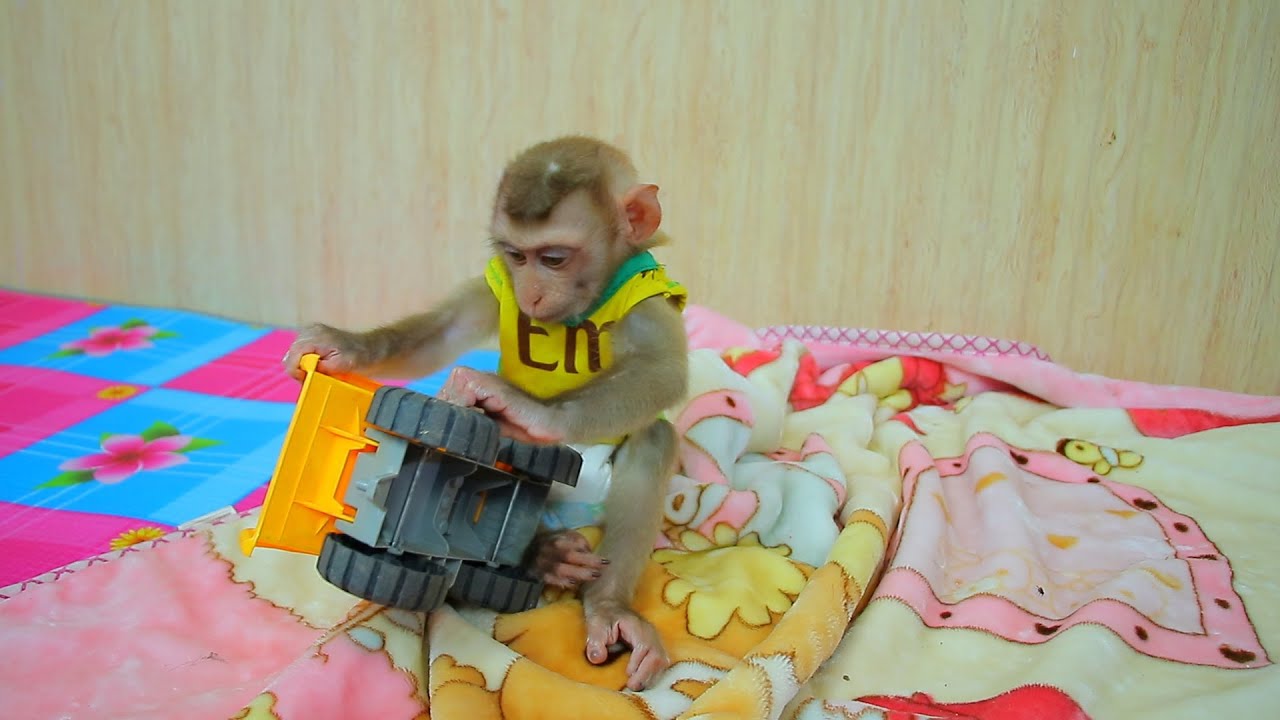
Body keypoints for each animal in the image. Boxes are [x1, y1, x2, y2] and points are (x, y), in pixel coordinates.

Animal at [282, 135, 688, 691]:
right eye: (516, 256)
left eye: (554, 258)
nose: (531, 292)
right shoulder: (499, 283)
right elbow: (443, 334)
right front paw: (344, 345)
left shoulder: (645, 294)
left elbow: (662, 369)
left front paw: (530, 412)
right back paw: (542, 554)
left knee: (653, 440)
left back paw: (607, 605)